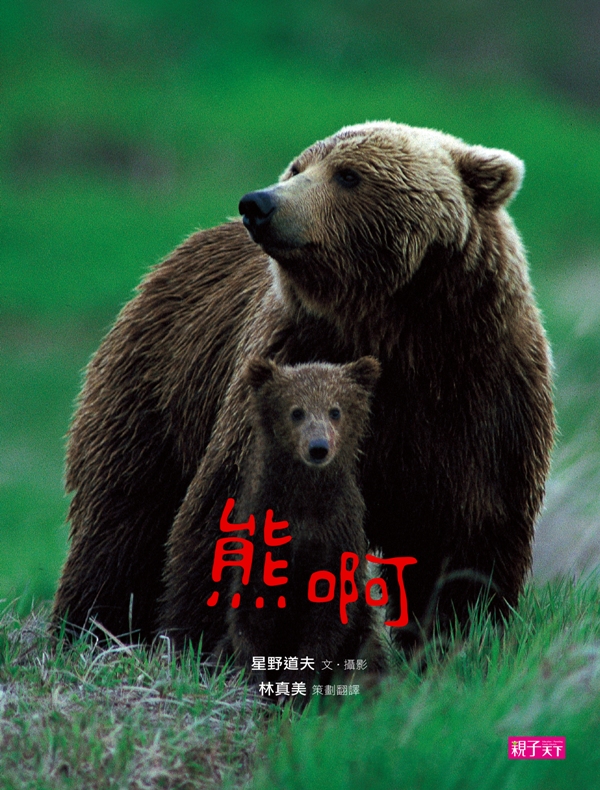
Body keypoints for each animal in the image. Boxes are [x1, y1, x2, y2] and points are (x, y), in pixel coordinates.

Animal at [52, 121, 554, 655]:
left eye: (349, 175)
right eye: (297, 167)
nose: (258, 203)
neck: (393, 328)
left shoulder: (480, 392)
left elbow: (468, 531)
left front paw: (459, 634)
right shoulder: (288, 362)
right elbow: (233, 505)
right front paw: (206, 639)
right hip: (154, 386)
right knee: (123, 515)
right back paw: (89, 628)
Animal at [220, 355, 385, 693]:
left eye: (335, 410)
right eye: (296, 411)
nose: (318, 447)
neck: (305, 501)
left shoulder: (337, 534)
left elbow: (328, 617)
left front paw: (295, 685)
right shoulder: (264, 529)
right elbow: (250, 607)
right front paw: (255, 676)